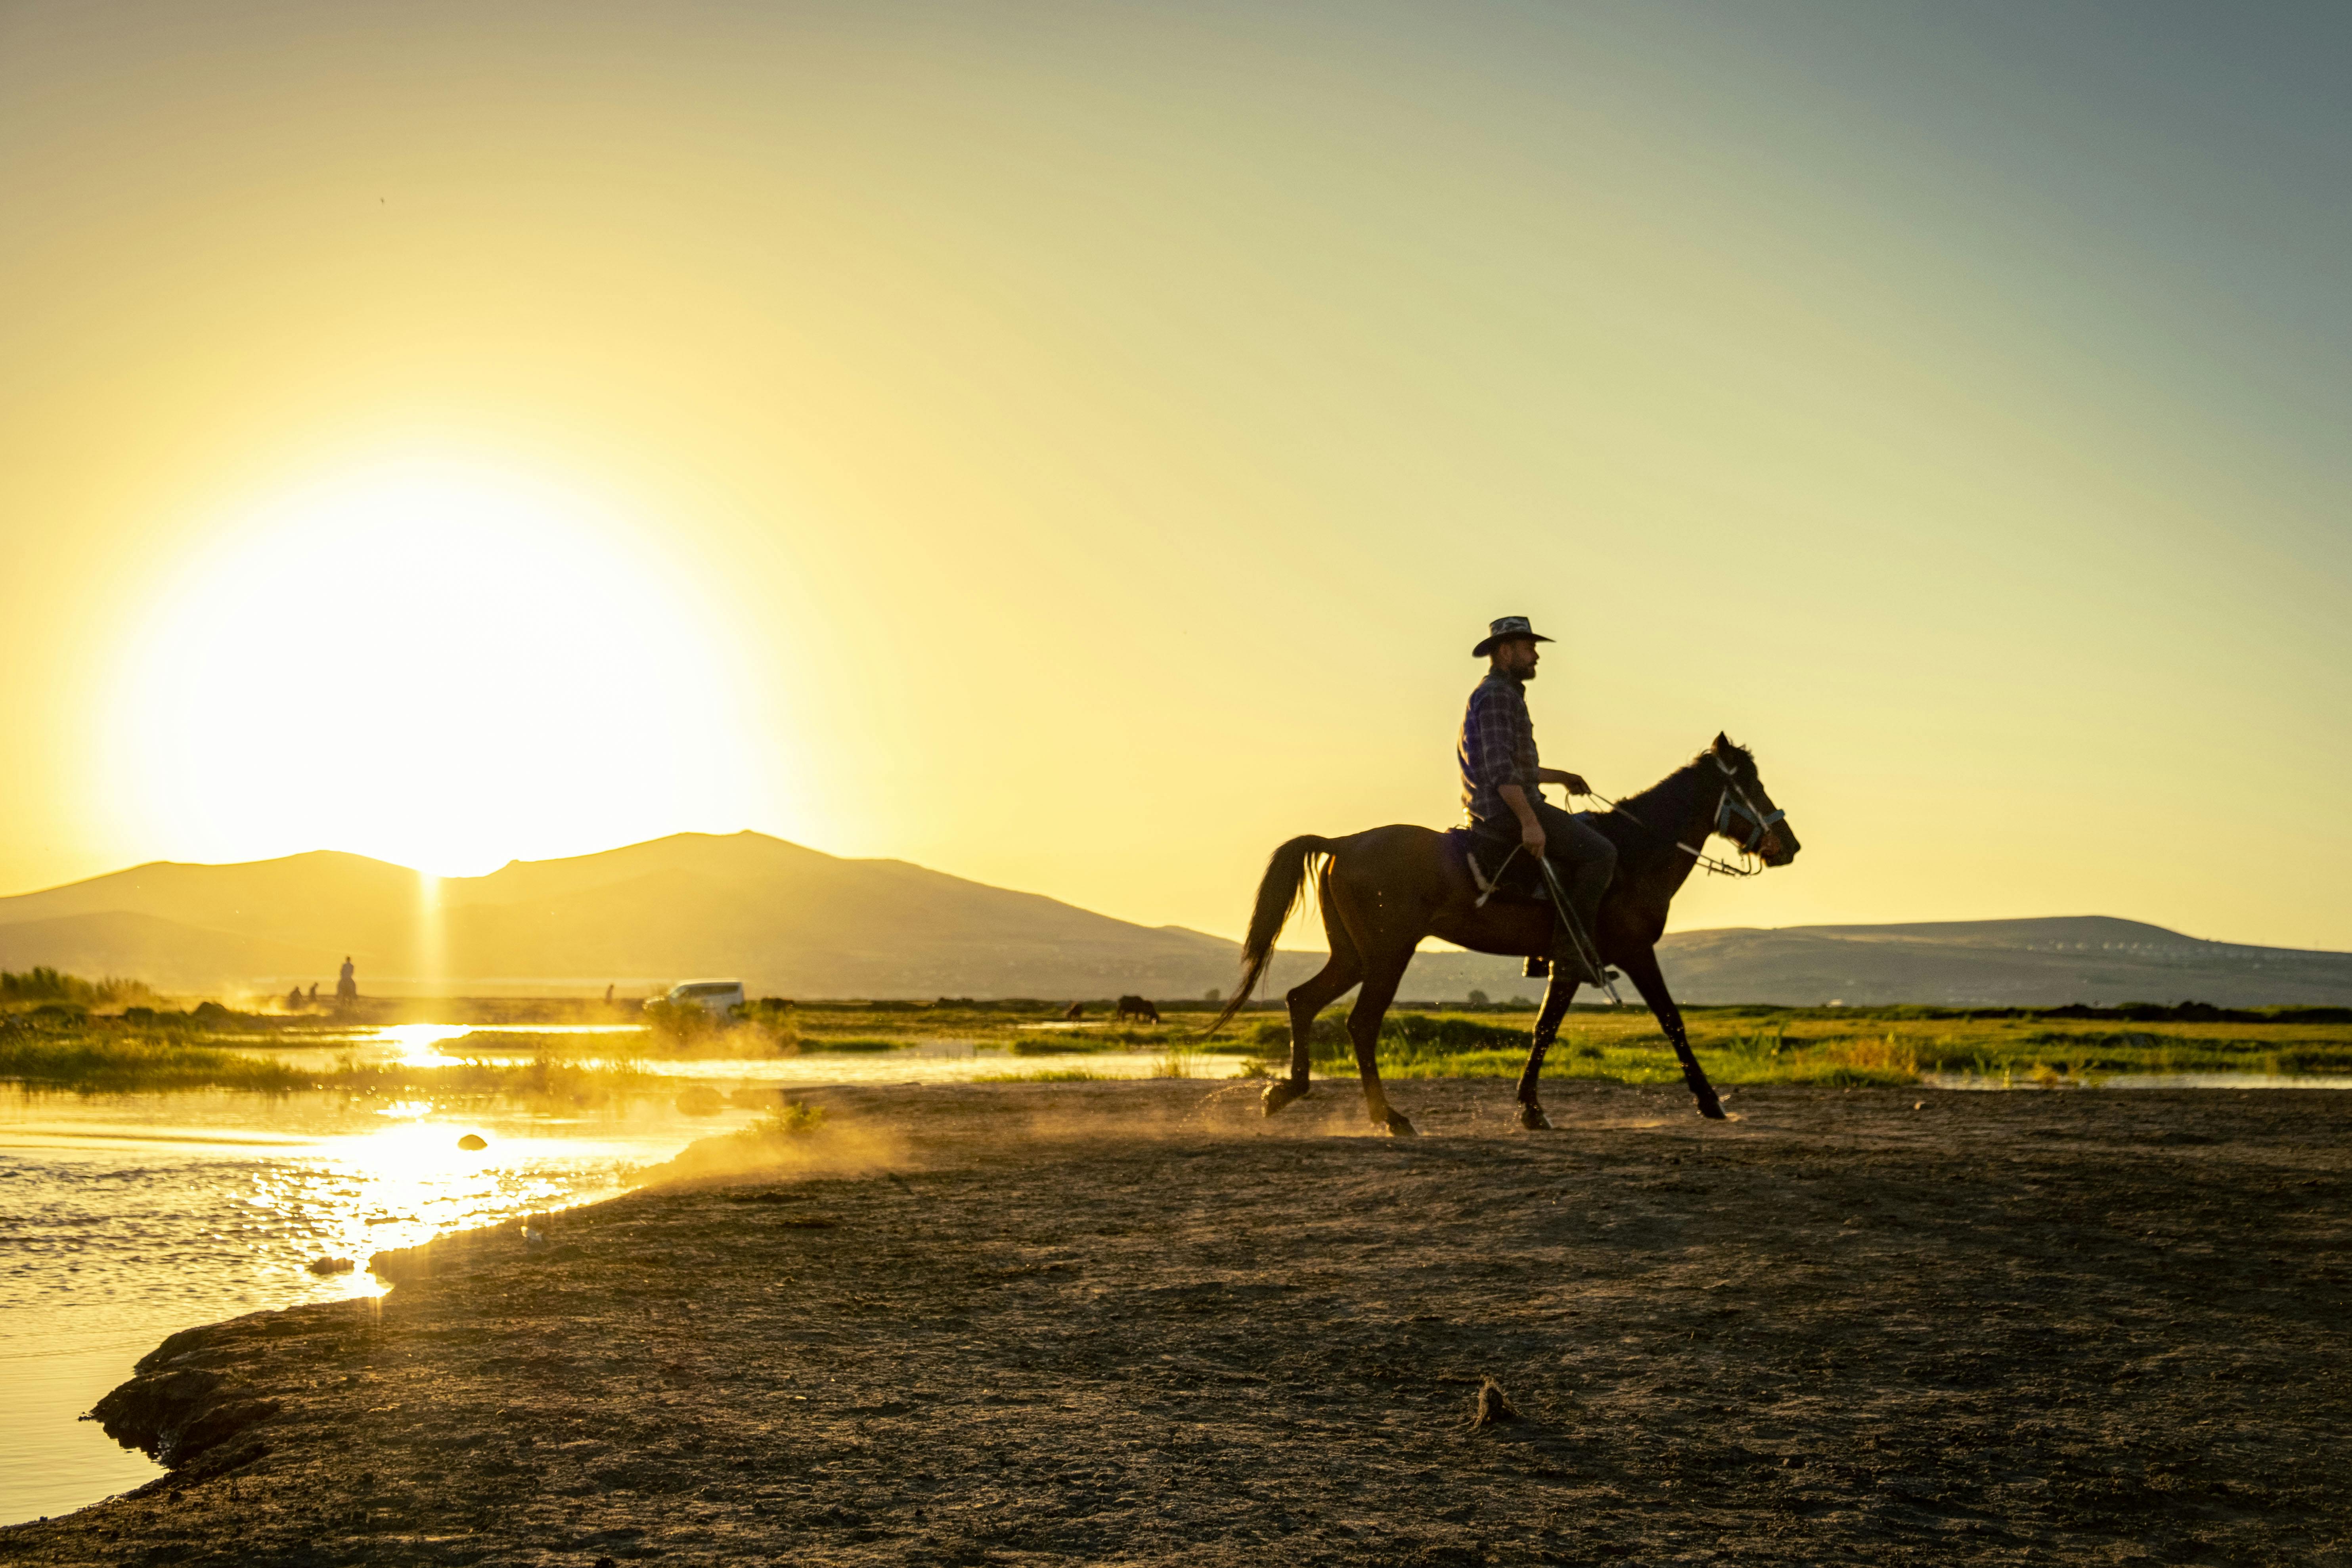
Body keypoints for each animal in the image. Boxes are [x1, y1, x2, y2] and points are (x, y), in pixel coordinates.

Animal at [1205, 734, 1800, 1133]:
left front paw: (1530, 1106)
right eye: (1749, 784)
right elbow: (1668, 1020)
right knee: (1360, 1023)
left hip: (1353, 955)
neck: (1634, 853)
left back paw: (1285, 1091)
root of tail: (1343, 842)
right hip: (1387, 955)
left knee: (1302, 1000)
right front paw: (1709, 1100)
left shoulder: (1573, 960)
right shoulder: (1627, 952)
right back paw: (1389, 1116)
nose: (1788, 845)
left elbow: (1545, 1027)